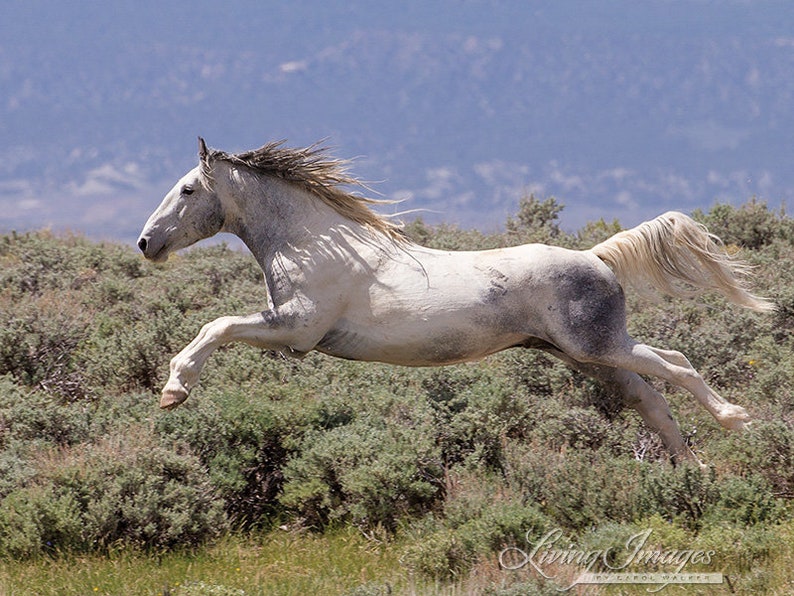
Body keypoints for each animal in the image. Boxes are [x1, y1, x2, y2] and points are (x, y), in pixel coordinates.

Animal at [137, 138, 774, 465]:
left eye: (188, 189)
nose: (147, 243)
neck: (313, 243)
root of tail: (596, 256)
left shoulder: (295, 332)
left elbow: (217, 326)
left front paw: (174, 390)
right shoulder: (291, 332)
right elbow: (217, 325)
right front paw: (173, 392)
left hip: (600, 345)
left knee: (678, 366)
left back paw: (735, 421)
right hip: (587, 357)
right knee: (651, 397)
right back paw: (691, 472)